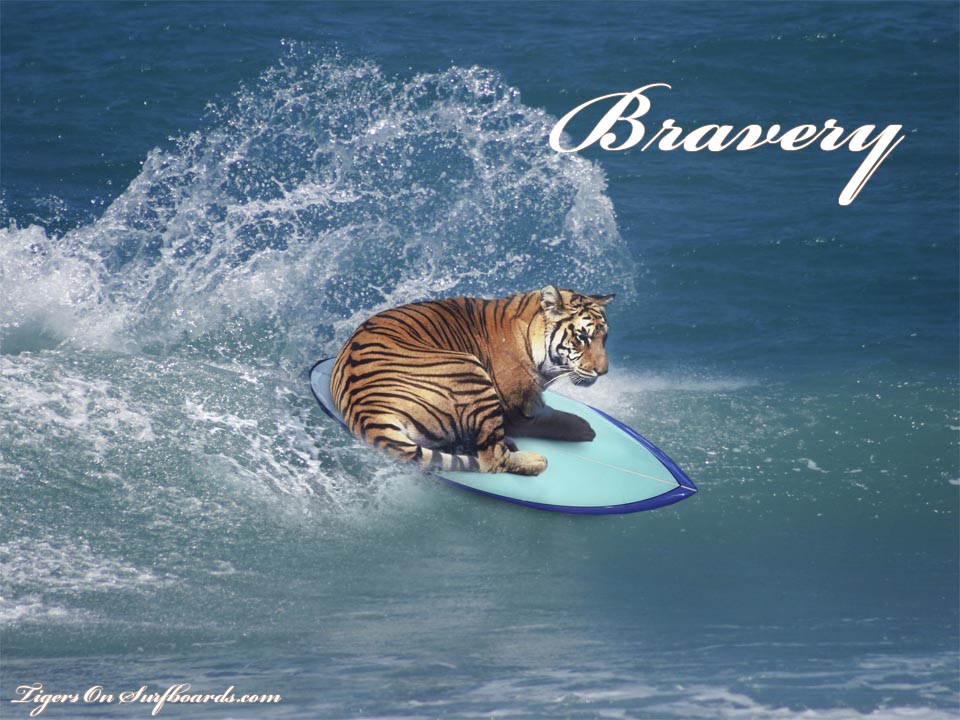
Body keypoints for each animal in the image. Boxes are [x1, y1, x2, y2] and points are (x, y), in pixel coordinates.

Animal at [329, 286, 614, 476]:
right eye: (582, 337)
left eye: (605, 338)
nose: (603, 372)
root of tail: (366, 411)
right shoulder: (518, 411)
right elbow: (553, 420)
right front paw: (586, 428)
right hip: (470, 372)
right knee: (491, 460)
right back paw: (535, 461)